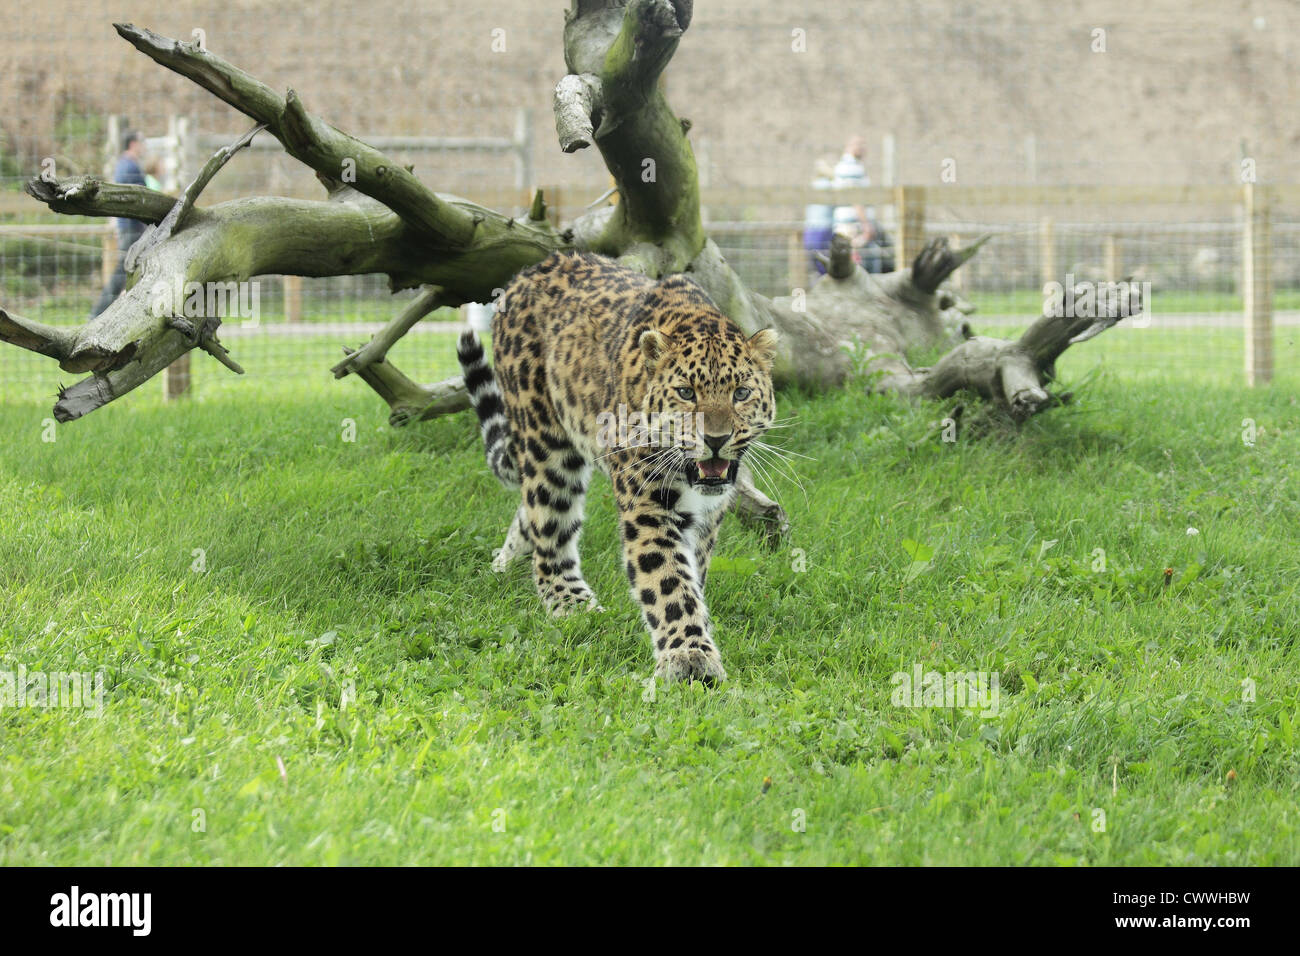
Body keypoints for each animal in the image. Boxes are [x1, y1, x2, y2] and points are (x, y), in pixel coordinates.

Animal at [457, 251, 779, 683]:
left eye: (741, 393)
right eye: (686, 393)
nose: (715, 439)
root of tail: (528, 271)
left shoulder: (708, 516)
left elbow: (693, 571)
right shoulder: (647, 505)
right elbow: (669, 581)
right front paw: (688, 655)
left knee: (530, 512)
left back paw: (505, 562)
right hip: (546, 440)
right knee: (548, 527)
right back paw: (572, 605)